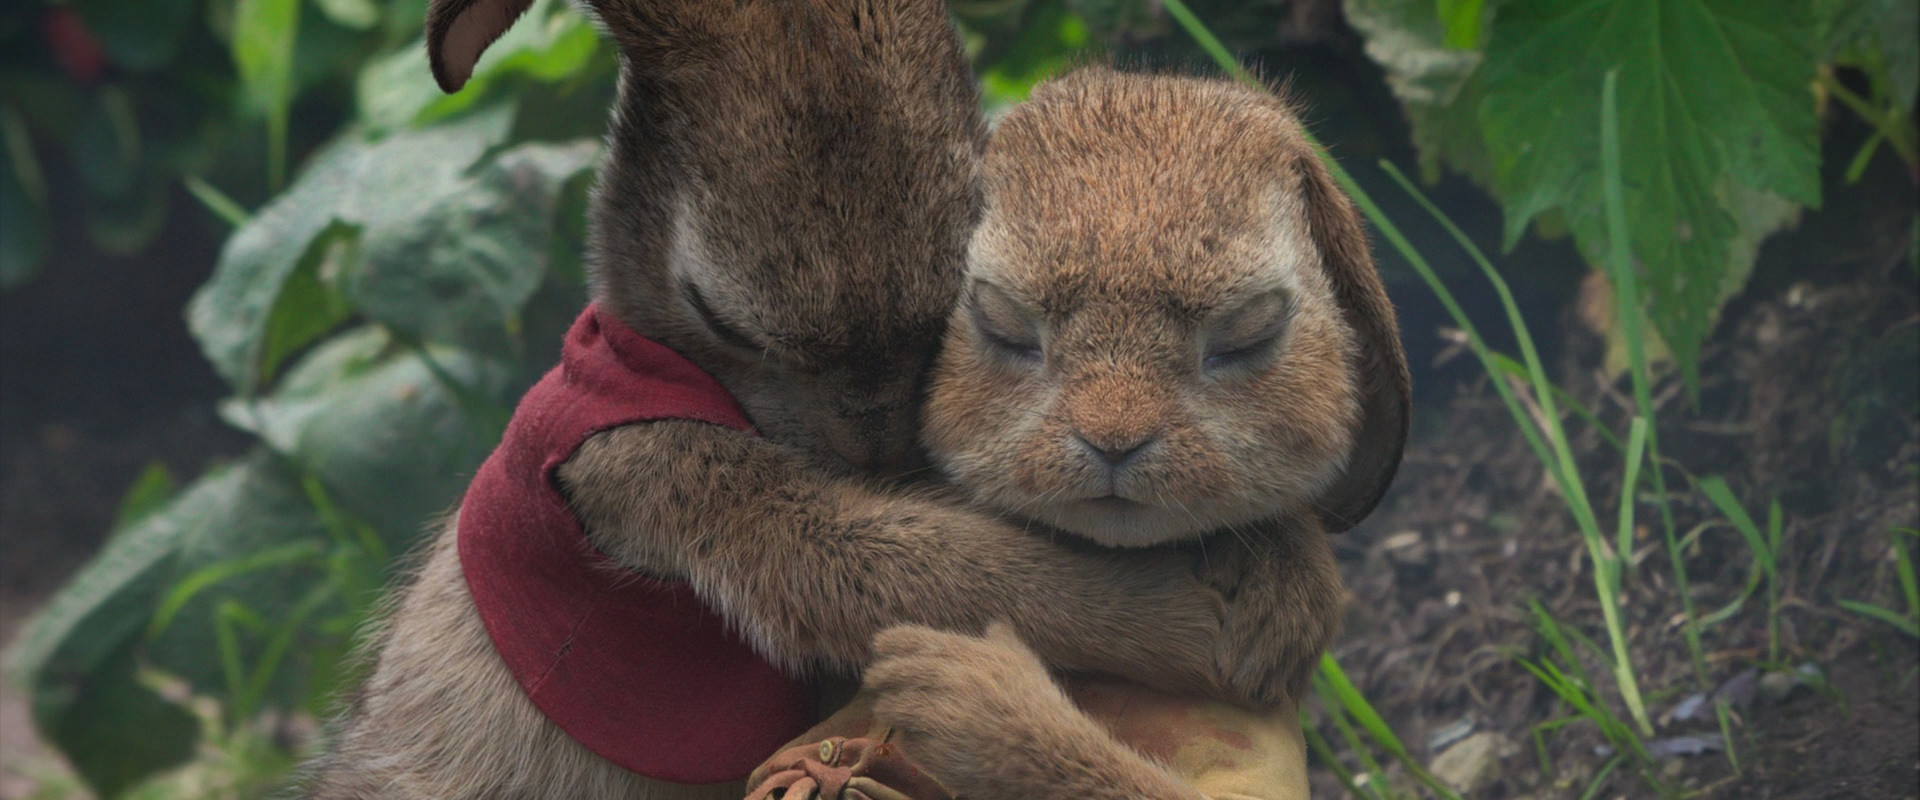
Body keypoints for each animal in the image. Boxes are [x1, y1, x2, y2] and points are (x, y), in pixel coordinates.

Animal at [299, 5, 1304, 799]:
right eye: (715, 313)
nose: (873, 443)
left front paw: (1276, 568)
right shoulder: (652, 464)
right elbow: (944, 568)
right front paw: (1230, 619)